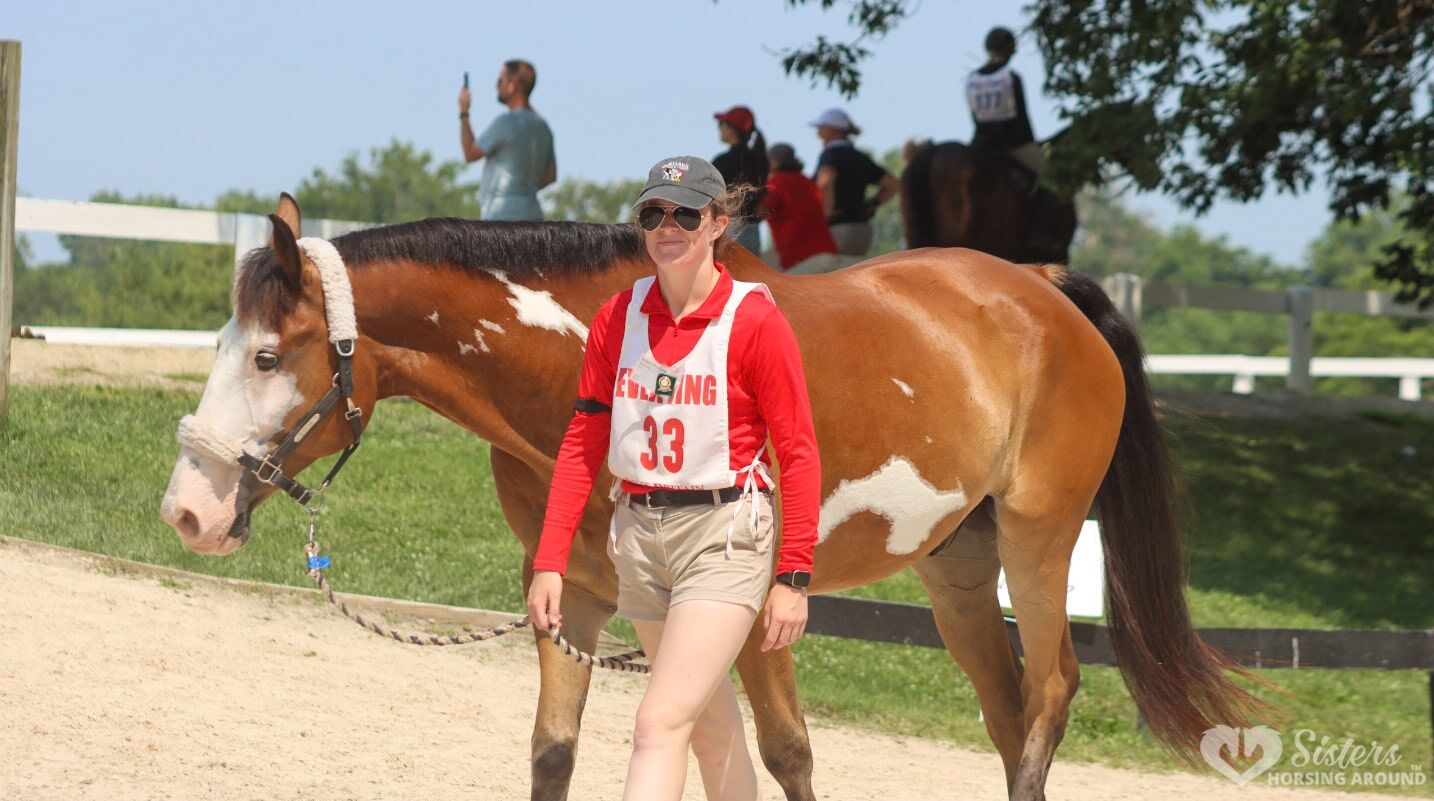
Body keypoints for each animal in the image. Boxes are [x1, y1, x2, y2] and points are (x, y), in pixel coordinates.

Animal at [160, 194, 1267, 801]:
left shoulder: (759, 603)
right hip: (959, 563)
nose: (189, 510)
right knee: (1007, 712)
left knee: (1050, 693)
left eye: (269, 356)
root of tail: (1039, 286)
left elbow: (787, 754)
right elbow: (559, 754)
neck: (580, 359)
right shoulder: (581, 591)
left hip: (1041, 541)